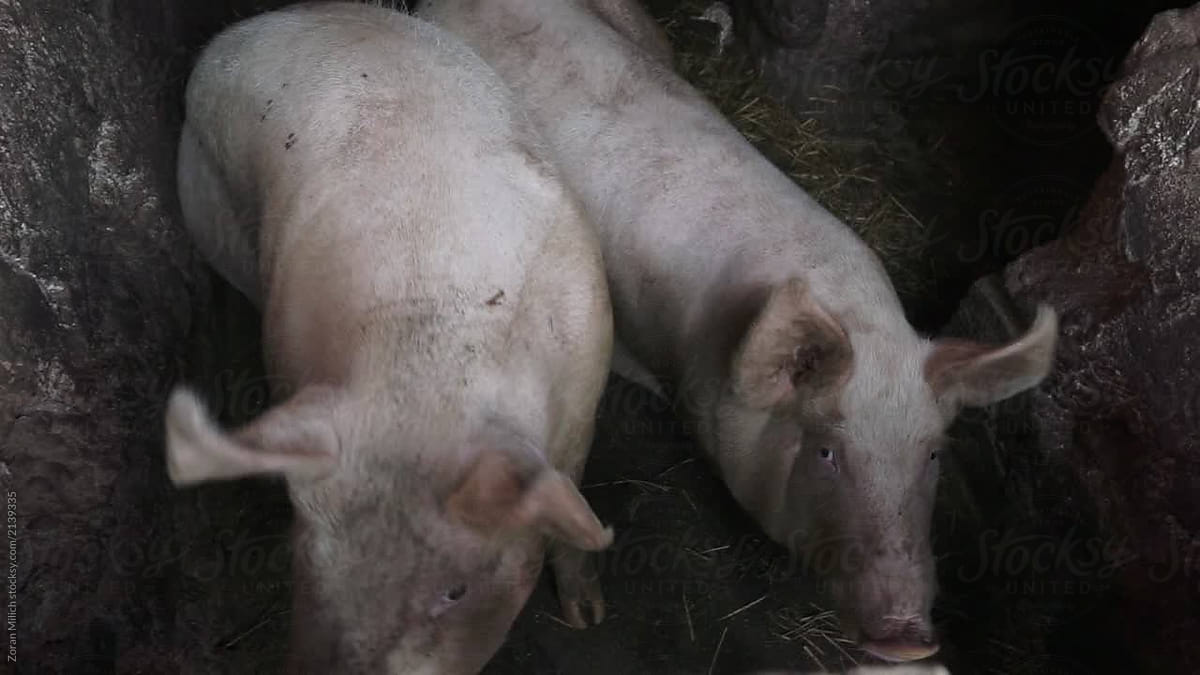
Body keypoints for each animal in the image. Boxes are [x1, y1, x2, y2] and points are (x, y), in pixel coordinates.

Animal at [165, 3, 616, 672]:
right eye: (307, 554)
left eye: (454, 591)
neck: (432, 383)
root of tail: (251, 28)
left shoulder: (585, 399)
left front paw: (589, 617)